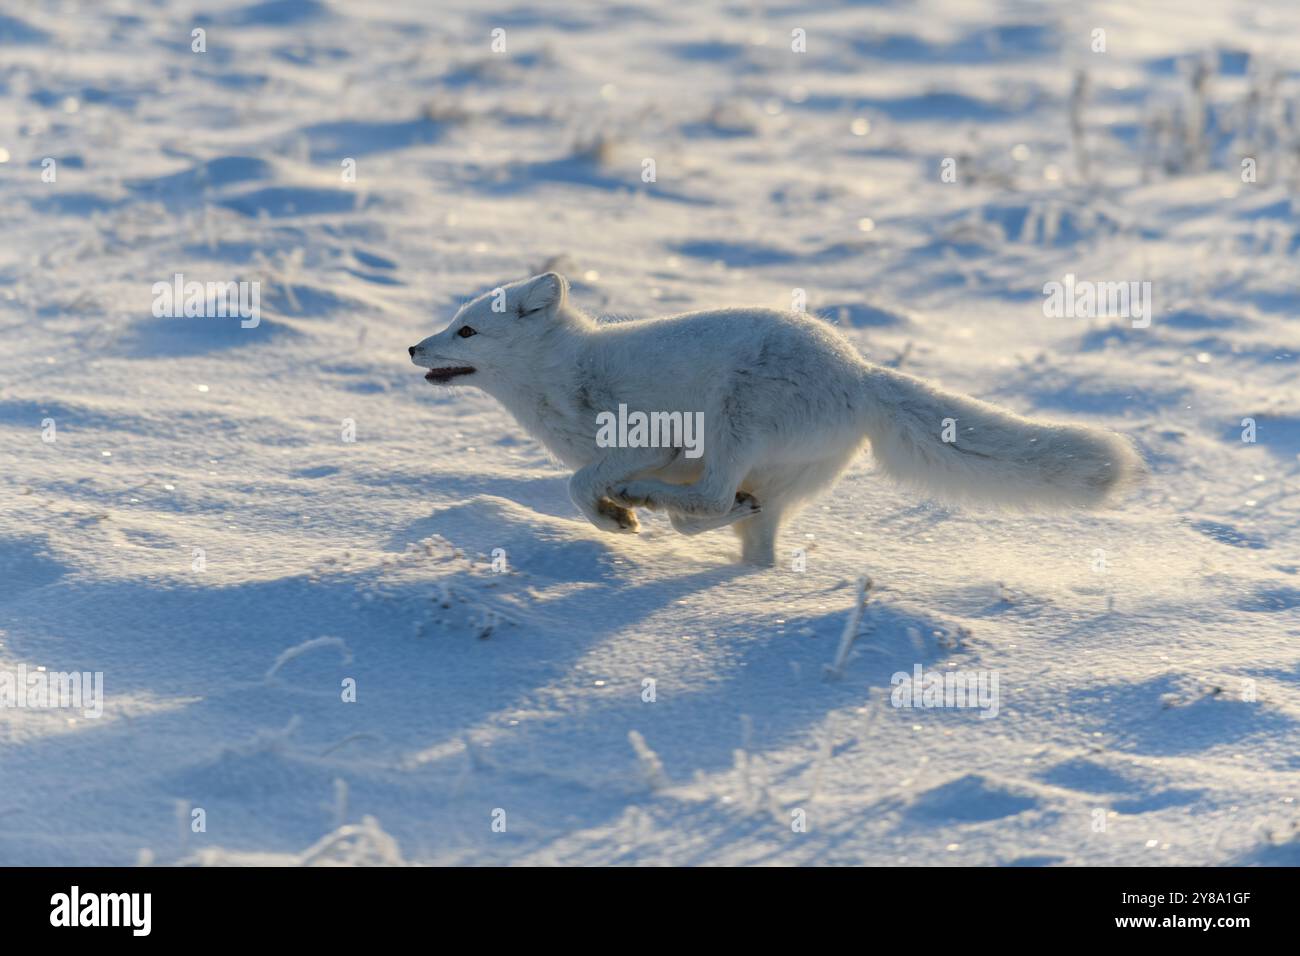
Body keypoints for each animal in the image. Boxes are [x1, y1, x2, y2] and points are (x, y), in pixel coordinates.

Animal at [409, 272, 1145, 566]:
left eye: (466, 331)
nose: (414, 348)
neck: (566, 377)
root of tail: (860, 374)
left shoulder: (657, 440)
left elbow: (579, 482)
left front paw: (616, 515)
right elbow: (580, 487)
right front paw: (614, 517)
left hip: (735, 422)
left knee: (708, 501)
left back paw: (646, 499)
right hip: (782, 477)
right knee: (738, 522)